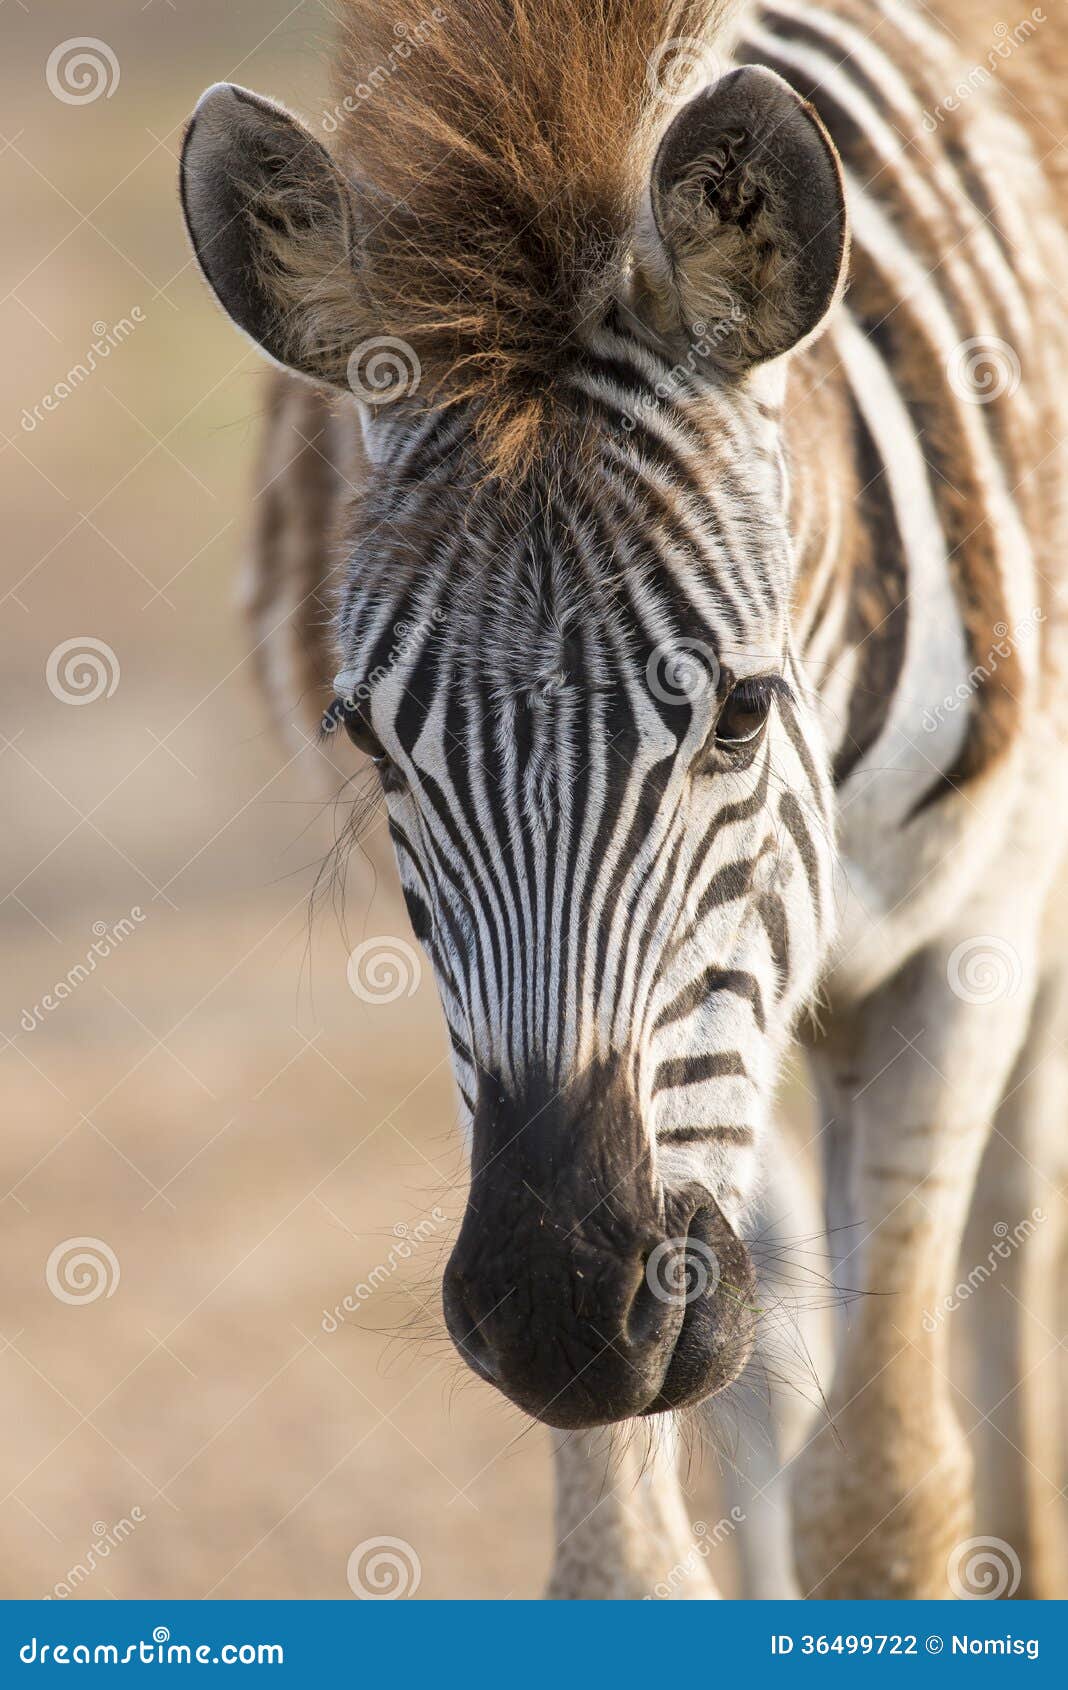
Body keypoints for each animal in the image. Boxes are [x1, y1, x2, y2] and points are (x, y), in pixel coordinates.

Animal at [180, 0, 1068, 1598]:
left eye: (740, 711)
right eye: (373, 742)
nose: (563, 1312)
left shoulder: (969, 934)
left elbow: (888, 1500)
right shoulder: (487, 1045)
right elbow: (624, 1563)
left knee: (1020, 1197)